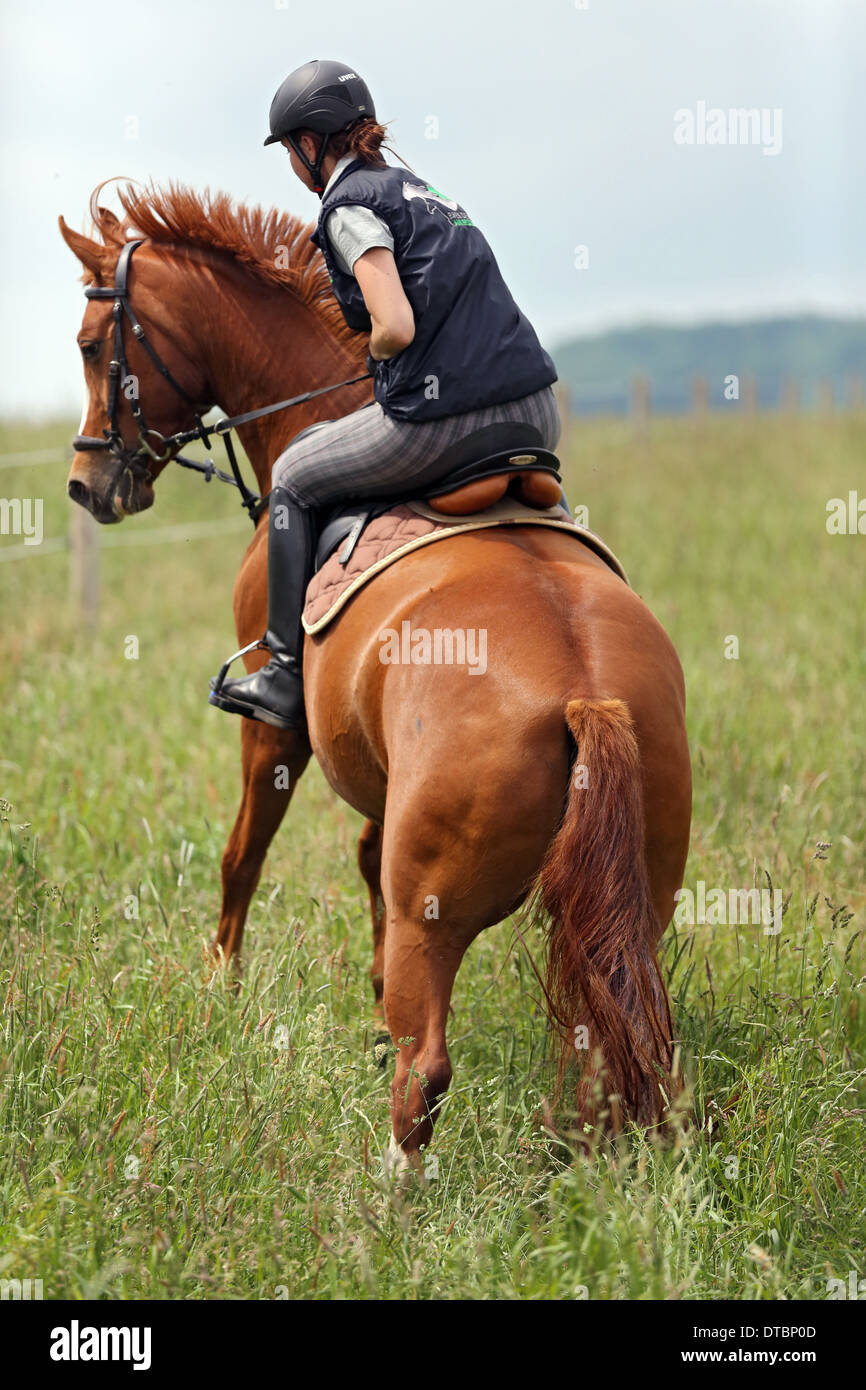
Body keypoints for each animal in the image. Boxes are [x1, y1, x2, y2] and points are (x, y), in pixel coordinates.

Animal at [60, 182, 692, 1165]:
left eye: (94, 345)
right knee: (615, 1050)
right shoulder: (379, 771)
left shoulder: (275, 732)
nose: (88, 486)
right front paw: (354, 992)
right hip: (632, 901)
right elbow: (359, 858)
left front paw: (219, 990)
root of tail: (587, 694)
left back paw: (390, 1191)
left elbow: (241, 857)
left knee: (424, 1067)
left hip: (436, 907)